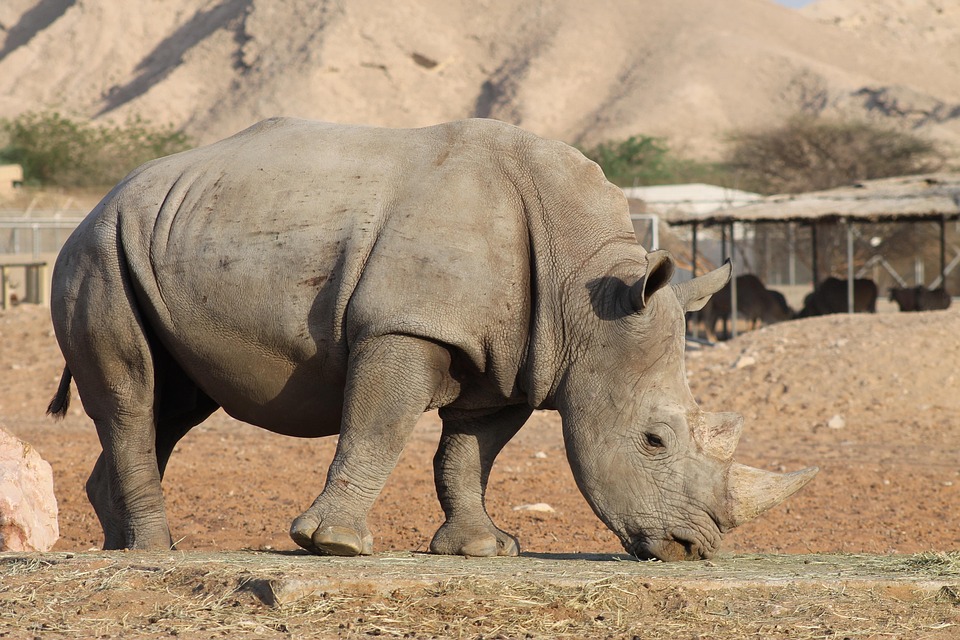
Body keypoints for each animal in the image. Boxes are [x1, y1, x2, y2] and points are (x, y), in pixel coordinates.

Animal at [47, 117, 816, 561]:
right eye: (654, 440)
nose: (693, 548)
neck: (586, 292)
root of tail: (99, 203)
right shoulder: (404, 324)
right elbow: (378, 427)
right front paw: (336, 546)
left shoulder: (518, 358)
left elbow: (469, 453)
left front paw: (485, 549)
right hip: (98, 252)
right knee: (134, 392)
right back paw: (157, 551)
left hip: (163, 238)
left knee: (173, 404)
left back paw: (121, 545)